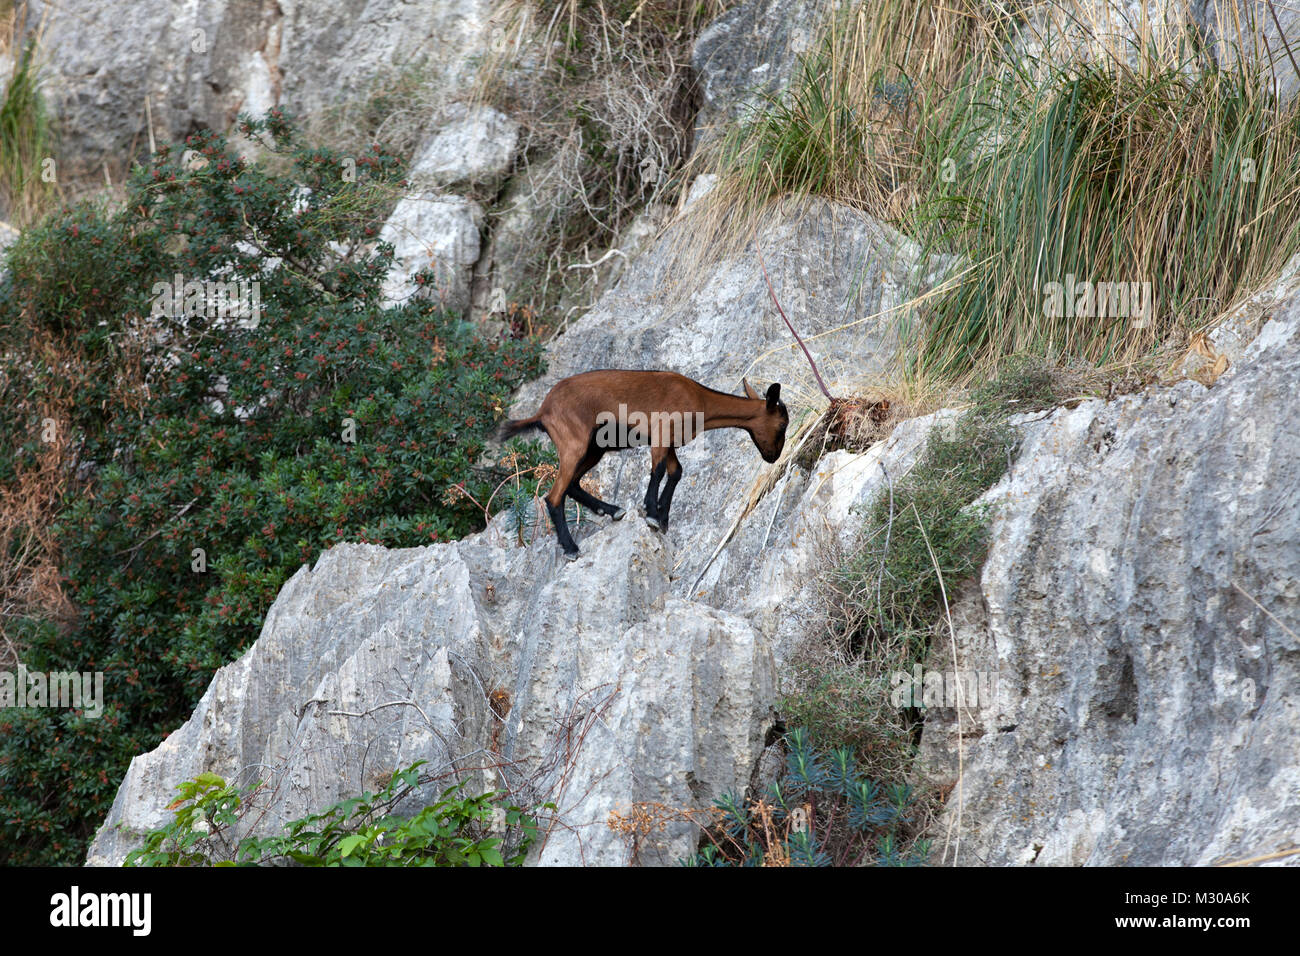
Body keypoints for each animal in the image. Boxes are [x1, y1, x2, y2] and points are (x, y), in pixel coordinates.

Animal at [500, 369, 789, 560]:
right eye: (783, 424)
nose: (773, 456)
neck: (700, 400)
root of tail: (543, 412)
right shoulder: (661, 433)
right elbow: (658, 471)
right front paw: (651, 514)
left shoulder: (669, 442)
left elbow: (676, 472)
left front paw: (662, 517)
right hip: (574, 443)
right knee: (554, 495)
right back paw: (571, 548)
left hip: (593, 449)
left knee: (572, 484)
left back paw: (613, 510)